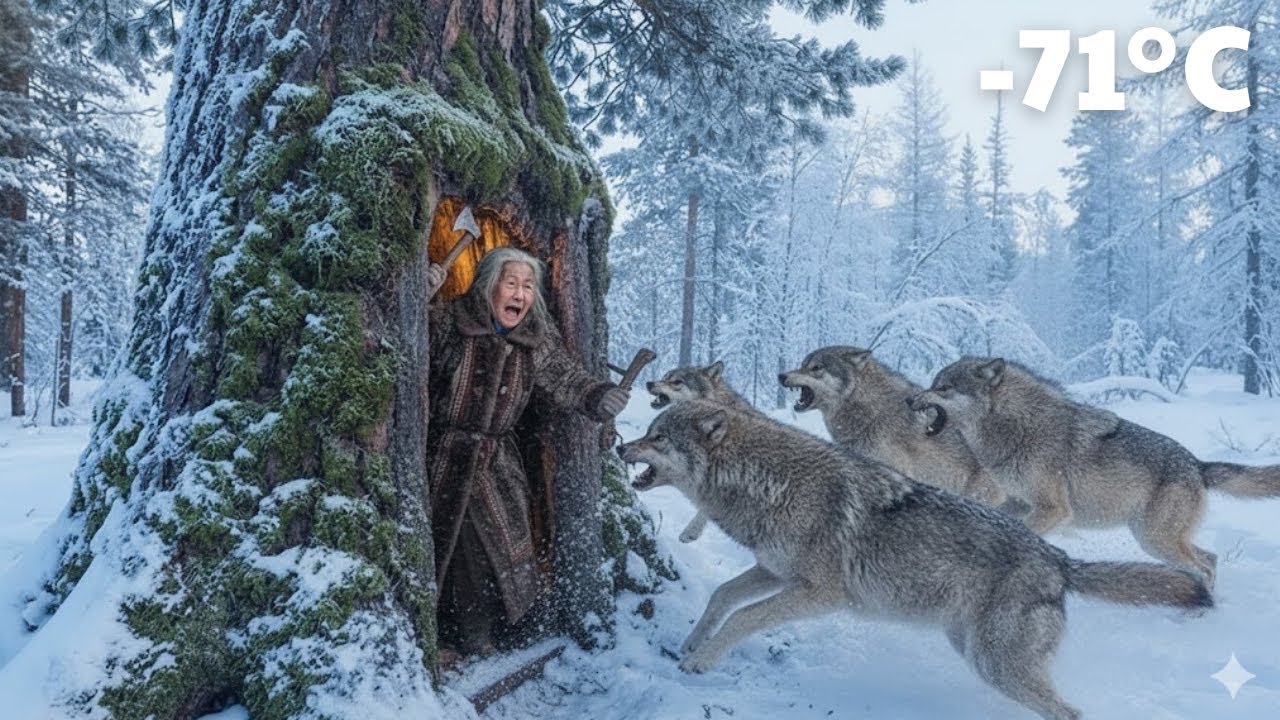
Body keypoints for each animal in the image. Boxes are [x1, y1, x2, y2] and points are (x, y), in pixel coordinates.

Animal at [617, 400, 1210, 720]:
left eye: (657, 436)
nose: (620, 447)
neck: (767, 483)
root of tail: (1058, 558)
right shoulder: (772, 569)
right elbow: (723, 596)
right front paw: (692, 642)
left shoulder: (819, 594)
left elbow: (745, 617)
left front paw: (701, 662)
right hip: (972, 649)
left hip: (996, 664)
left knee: (1068, 711)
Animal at [908, 357, 1280, 590]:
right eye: (934, 383)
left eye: (943, 387)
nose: (910, 401)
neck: (1016, 428)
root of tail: (1198, 464)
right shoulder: (1017, 502)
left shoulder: (1053, 510)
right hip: (1154, 540)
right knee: (1211, 559)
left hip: (1155, 539)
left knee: (1205, 565)